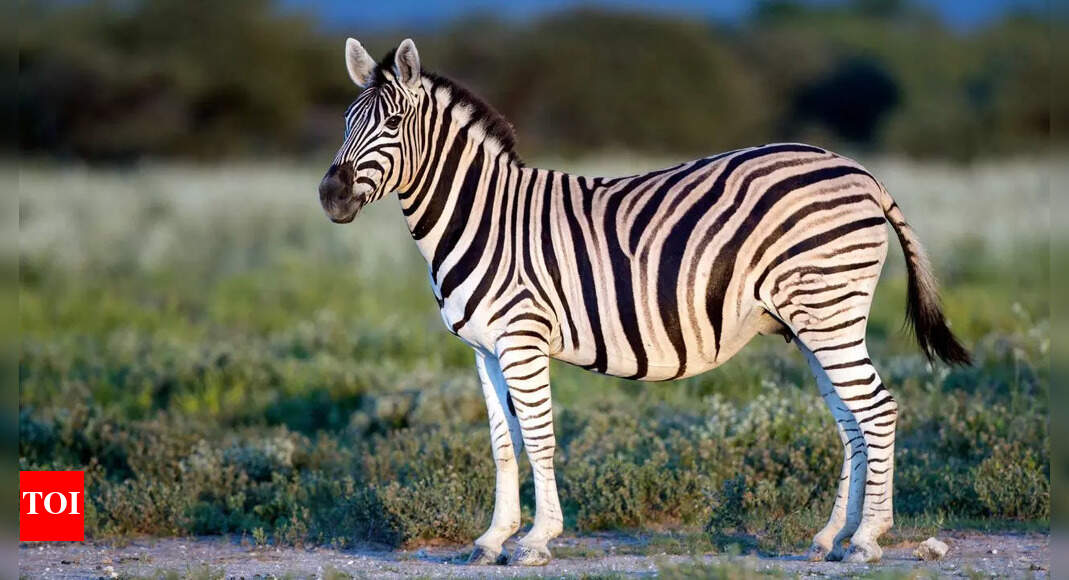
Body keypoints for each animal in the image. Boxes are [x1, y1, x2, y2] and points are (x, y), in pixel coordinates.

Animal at [318, 38, 971, 566]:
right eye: (346, 121)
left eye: (392, 123)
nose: (330, 195)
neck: (482, 216)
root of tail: (860, 172)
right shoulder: (483, 348)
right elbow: (503, 444)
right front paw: (492, 539)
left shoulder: (523, 338)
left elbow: (539, 436)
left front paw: (535, 541)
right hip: (815, 321)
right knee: (852, 422)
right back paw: (832, 537)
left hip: (829, 311)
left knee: (877, 410)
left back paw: (866, 541)